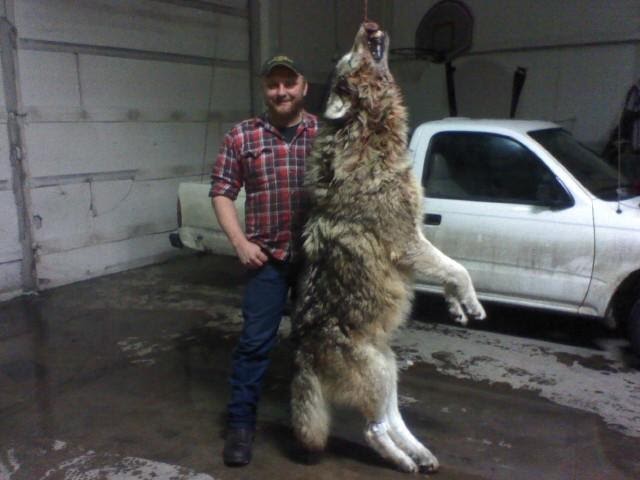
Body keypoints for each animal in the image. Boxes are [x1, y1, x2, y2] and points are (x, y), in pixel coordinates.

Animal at [291, 22, 486, 473]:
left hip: (388, 367)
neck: (365, 138)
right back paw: (406, 462)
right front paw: (470, 302)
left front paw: (455, 306)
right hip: (378, 375)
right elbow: (459, 269)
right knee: (373, 430)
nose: (368, 26)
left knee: (393, 420)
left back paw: (421, 453)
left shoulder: (418, 237)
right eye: (351, 56)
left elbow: (450, 271)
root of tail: (304, 355)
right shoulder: (407, 243)